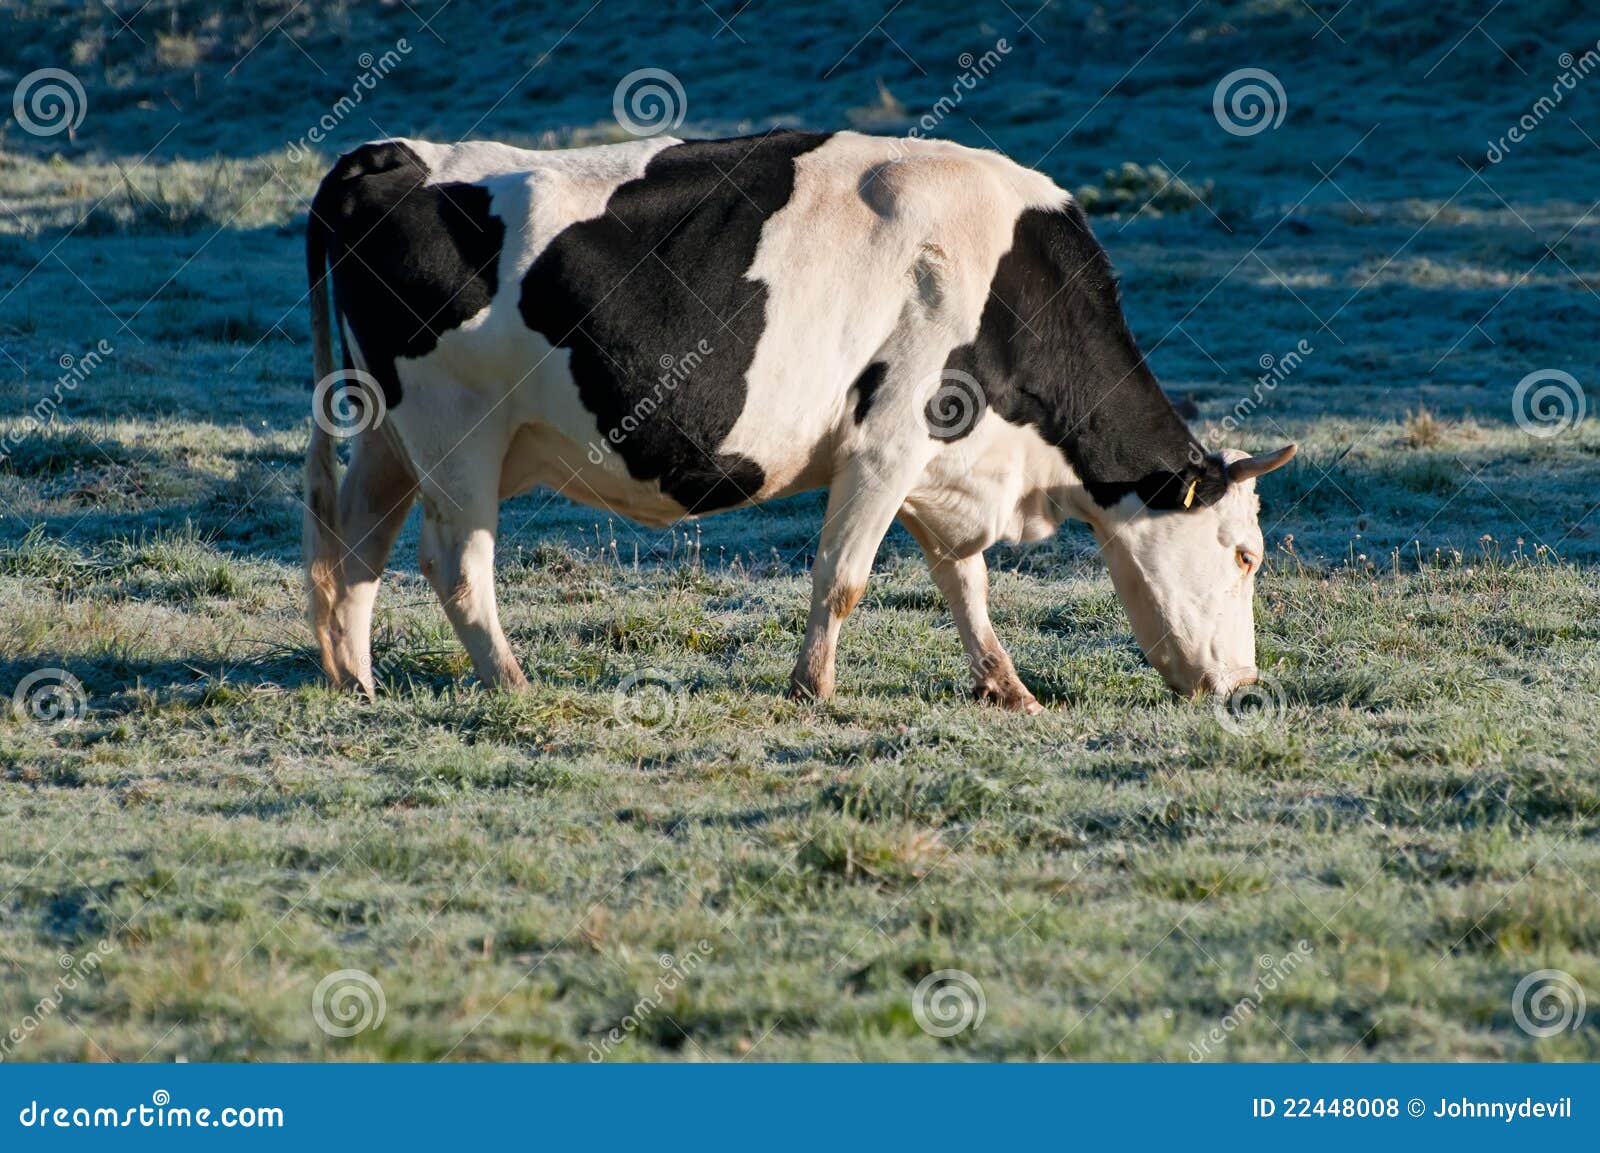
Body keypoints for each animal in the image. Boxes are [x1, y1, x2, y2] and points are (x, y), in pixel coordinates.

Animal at [302, 129, 1295, 712]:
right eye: (1245, 554)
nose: (1243, 683)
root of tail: (386, 155)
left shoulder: (939, 469)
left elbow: (963, 582)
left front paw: (1007, 686)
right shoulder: (888, 440)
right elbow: (845, 575)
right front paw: (812, 688)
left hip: (392, 435)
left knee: (353, 543)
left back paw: (357, 679)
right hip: (456, 433)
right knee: (454, 562)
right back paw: (509, 683)